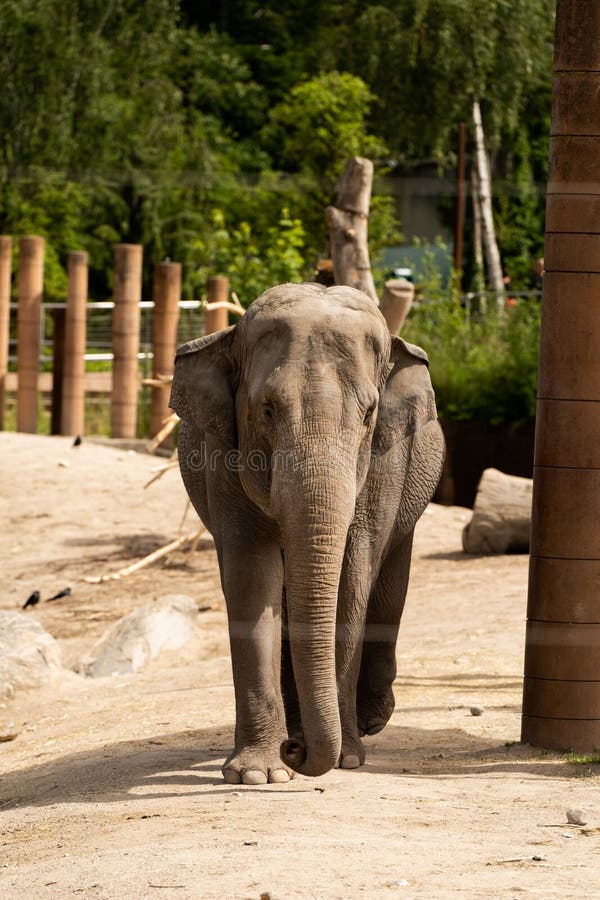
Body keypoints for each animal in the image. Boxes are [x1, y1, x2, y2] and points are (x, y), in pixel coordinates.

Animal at [170, 282, 444, 784]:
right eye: (267, 410)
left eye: (369, 414)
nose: (293, 752)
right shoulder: (221, 458)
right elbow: (251, 577)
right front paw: (258, 774)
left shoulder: (384, 466)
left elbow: (352, 580)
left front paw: (348, 759)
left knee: (390, 580)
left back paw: (370, 718)